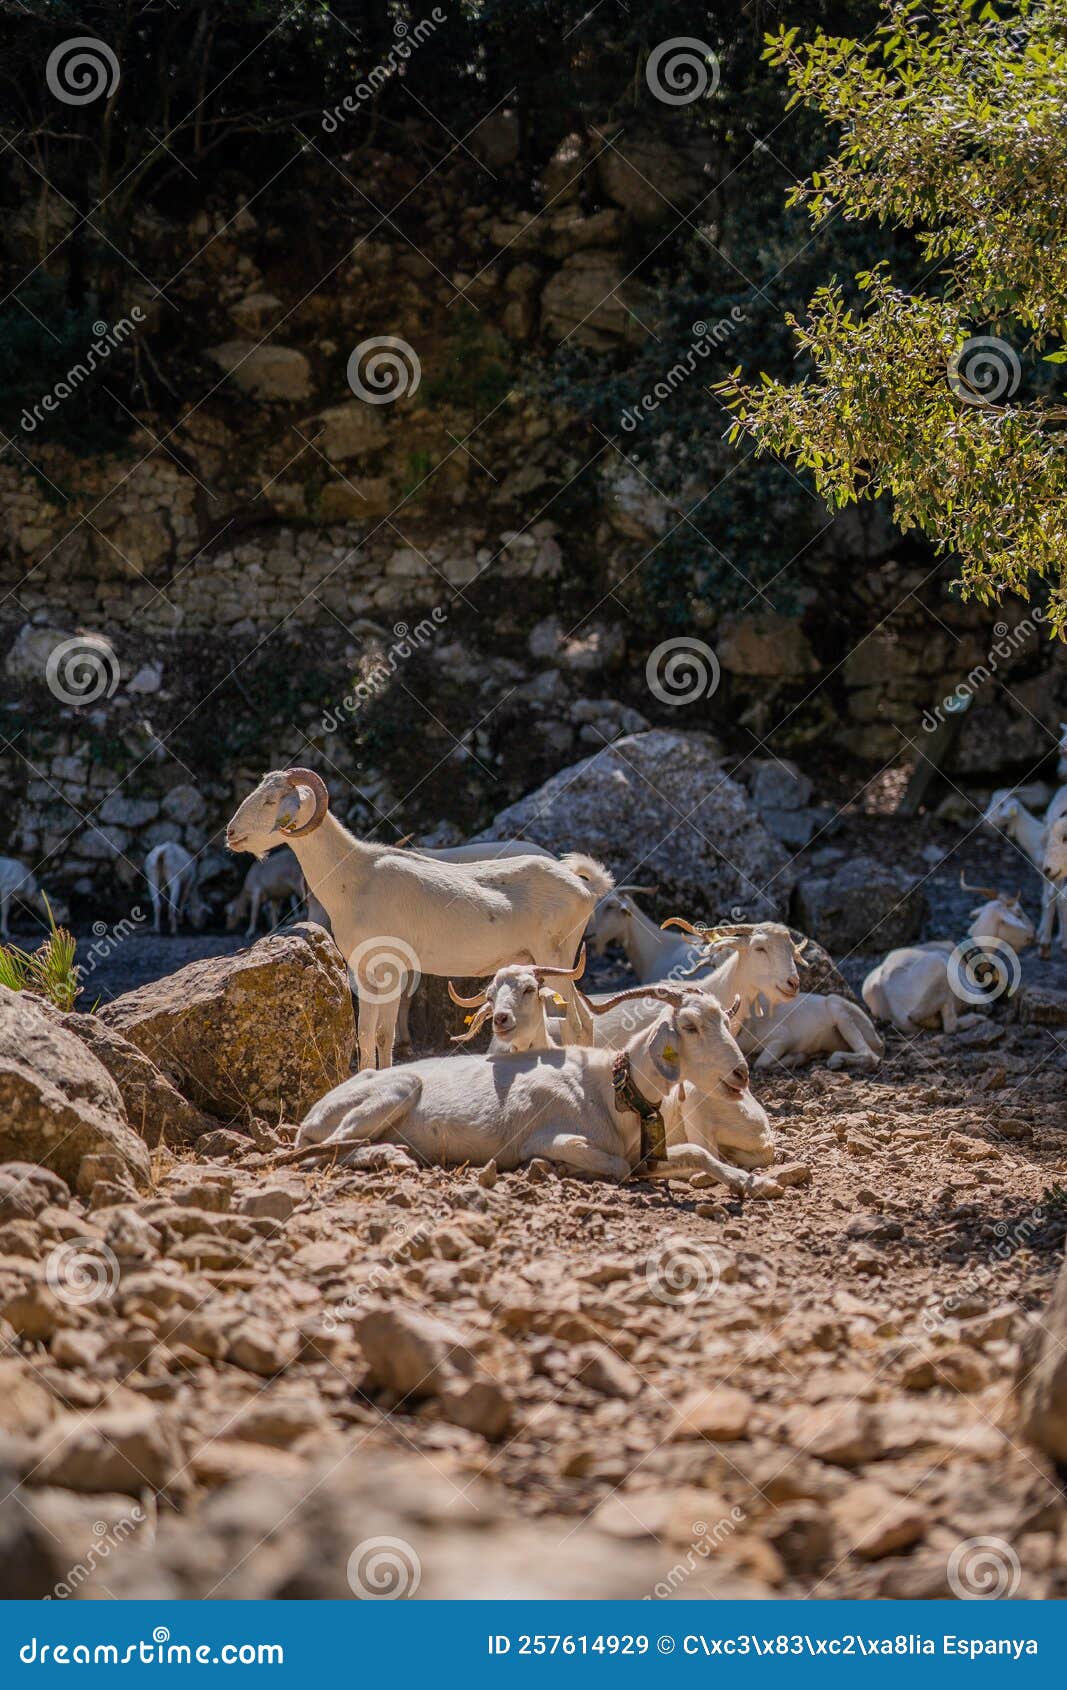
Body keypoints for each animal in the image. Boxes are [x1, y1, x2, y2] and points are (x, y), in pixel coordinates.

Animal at [225, 768, 612, 1071]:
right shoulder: (365, 973)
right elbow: (366, 1036)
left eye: (270, 801)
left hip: (555, 958)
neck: (355, 879)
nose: (231, 834)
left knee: (578, 1024)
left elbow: (385, 1035)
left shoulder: (392, 970)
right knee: (584, 1020)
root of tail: (583, 887)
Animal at [287, 984, 782, 1198]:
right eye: (691, 1026)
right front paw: (564, 1169)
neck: (610, 1090)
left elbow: (696, 1154)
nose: (740, 1075)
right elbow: (618, 1166)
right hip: (397, 1089)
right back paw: (391, 1156)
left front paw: (753, 1182)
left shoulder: (649, 1152)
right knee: (327, 1150)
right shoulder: (546, 1136)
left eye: (724, 1019)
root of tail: (311, 1116)